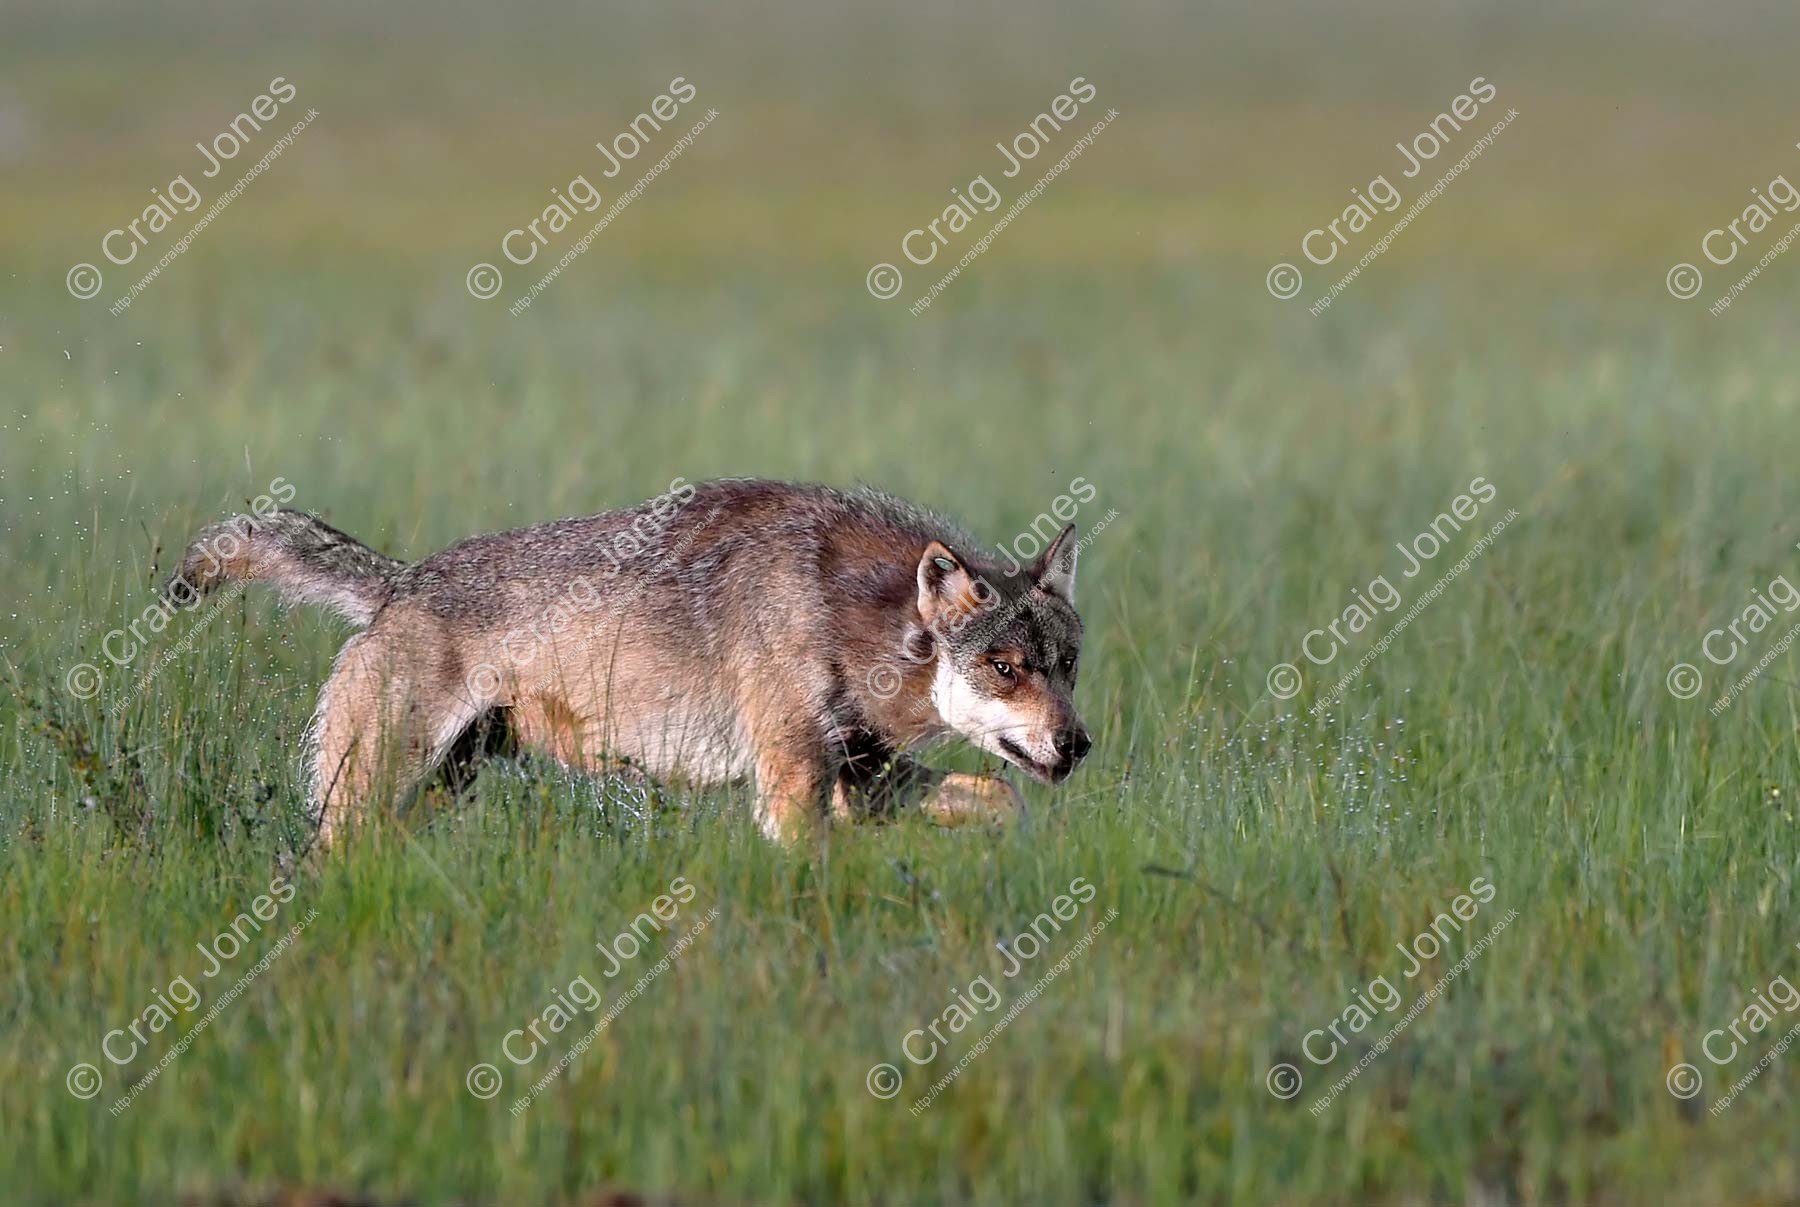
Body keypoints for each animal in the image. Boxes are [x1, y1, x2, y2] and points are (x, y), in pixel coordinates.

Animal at [164, 479, 1091, 848]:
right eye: (1007, 667)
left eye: (1069, 665)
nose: (1079, 745)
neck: (853, 615)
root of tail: (400, 581)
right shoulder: (791, 791)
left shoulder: (861, 782)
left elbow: (1004, 799)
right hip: (366, 805)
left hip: (434, 790)